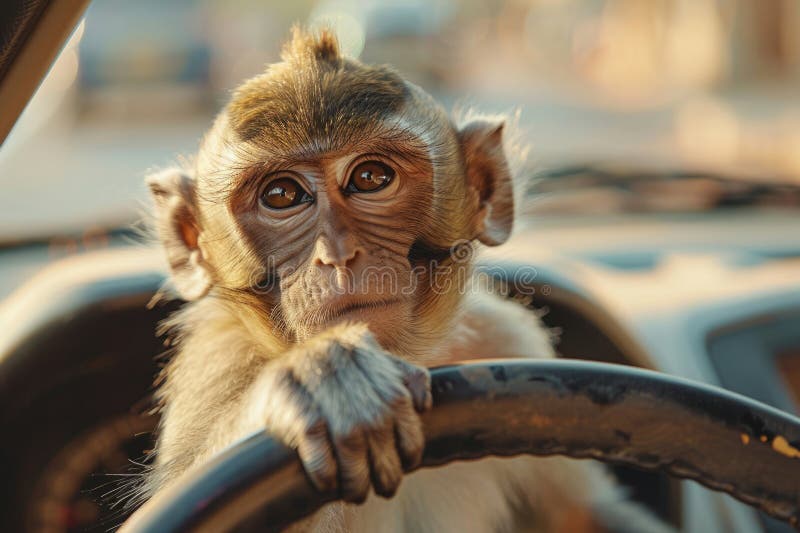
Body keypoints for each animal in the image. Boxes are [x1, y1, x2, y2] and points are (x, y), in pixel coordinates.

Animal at [129, 27, 673, 533]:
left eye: (371, 178)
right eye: (281, 195)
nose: (338, 255)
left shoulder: (506, 341)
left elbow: (580, 516)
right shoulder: (216, 364)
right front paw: (326, 379)